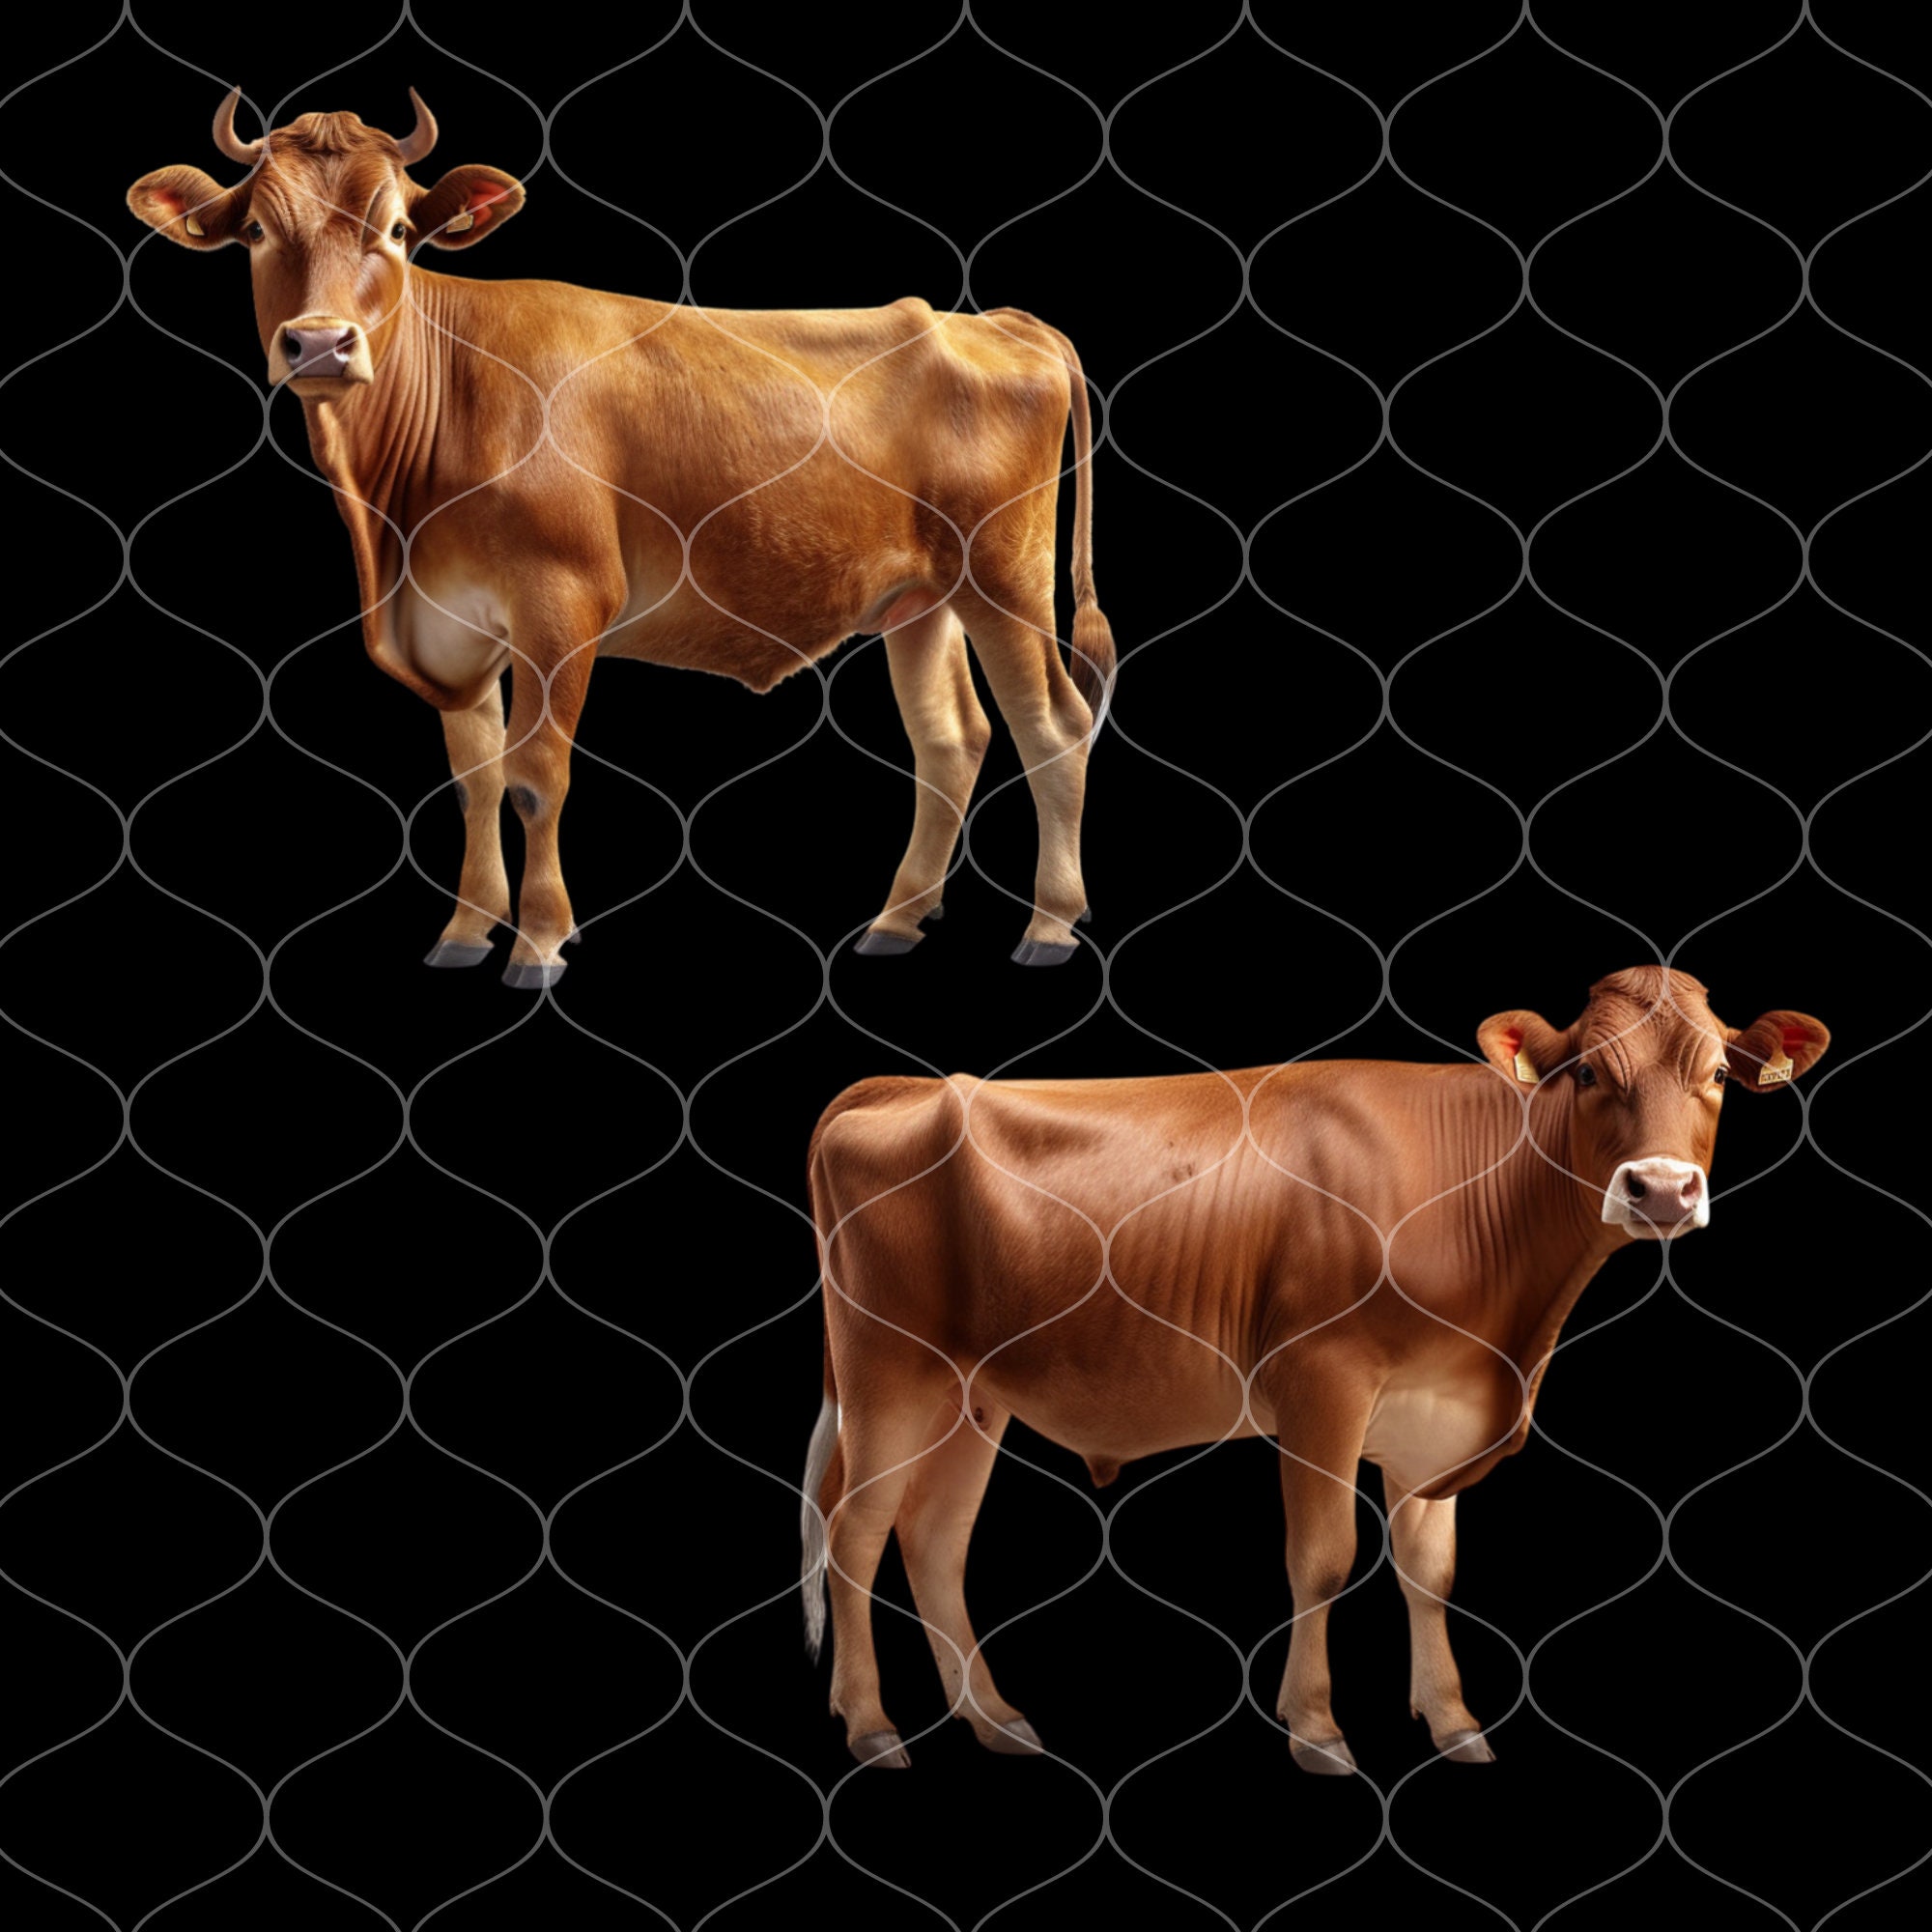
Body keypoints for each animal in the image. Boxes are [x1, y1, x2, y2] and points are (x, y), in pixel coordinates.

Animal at [127, 92, 1115, 986]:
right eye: (256, 230)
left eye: (401, 230)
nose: (322, 346)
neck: (393, 529)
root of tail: (990, 320)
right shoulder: (454, 621)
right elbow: (475, 777)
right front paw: (464, 931)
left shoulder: (562, 604)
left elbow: (534, 775)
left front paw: (536, 943)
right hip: (921, 598)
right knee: (952, 738)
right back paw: (898, 919)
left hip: (1006, 576)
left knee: (1052, 723)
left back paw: (1050, 925)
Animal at [798, 966, 1830, 1773]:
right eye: (1585, 1073)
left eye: (1716, 1075)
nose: (1661, 1191)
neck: (1509, 1333)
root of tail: (900, 1085)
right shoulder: (1321, 1383)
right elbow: (1324, 1558)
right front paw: (1317, 1729)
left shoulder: (1432, 1410)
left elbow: (1430, 1571)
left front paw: (1454, 1722)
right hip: (890, 1372)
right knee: (855, 1533)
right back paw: (872, 1728)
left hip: (970, 1396)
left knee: (934, 1537)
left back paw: (993, 1718)